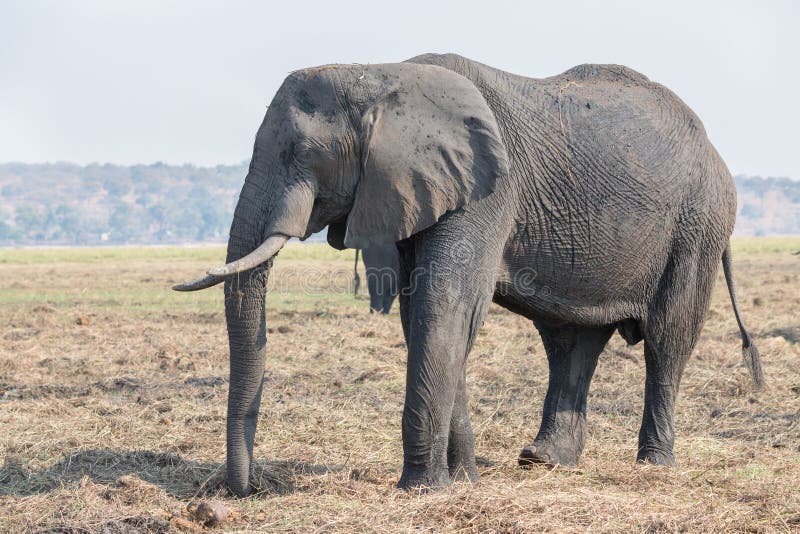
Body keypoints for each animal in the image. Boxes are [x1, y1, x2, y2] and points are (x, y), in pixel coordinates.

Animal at [174, 53, 763, 497]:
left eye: (301, 152)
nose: (244, 490)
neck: (380, 74)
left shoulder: (486, 190)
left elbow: (447, 304)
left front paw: (421, 489)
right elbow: (423, 311)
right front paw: (462, 480)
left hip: (699, 225)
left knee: (667, 337)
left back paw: (653, 465)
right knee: (572, 342)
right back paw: (544, 461)